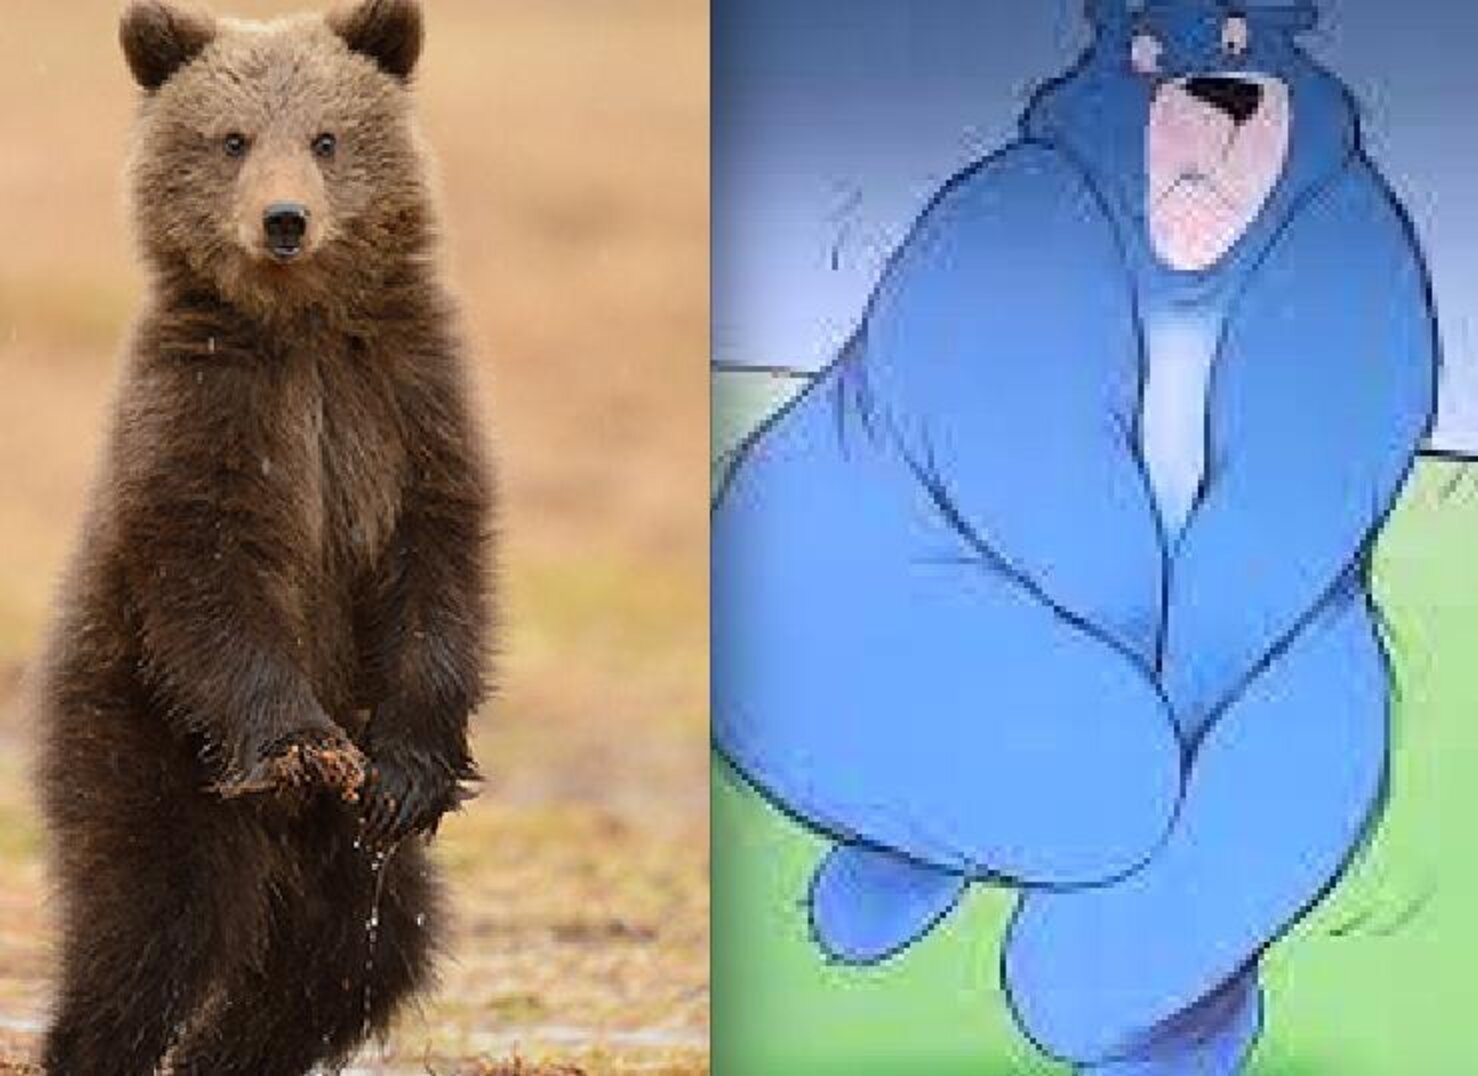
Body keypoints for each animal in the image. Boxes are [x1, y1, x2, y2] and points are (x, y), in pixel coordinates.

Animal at [33, 1, 492, 1073]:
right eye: (232, 139)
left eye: (326, 137)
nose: (285, 220)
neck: (302, 330)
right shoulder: (205, 413)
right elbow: (212, 575)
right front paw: (301, 747)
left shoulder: (404, 402)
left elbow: (437, 565)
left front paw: (410, 772)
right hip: (144, 733)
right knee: (154, 922)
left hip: (340, 855)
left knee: (359, 948)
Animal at [712, 0, 1436, 1073]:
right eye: (1140, 53)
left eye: (1242, 42)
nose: (1226, 95)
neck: (1185, 279)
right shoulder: (1018, 219)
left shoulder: (1354, 242)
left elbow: (1292, 486)